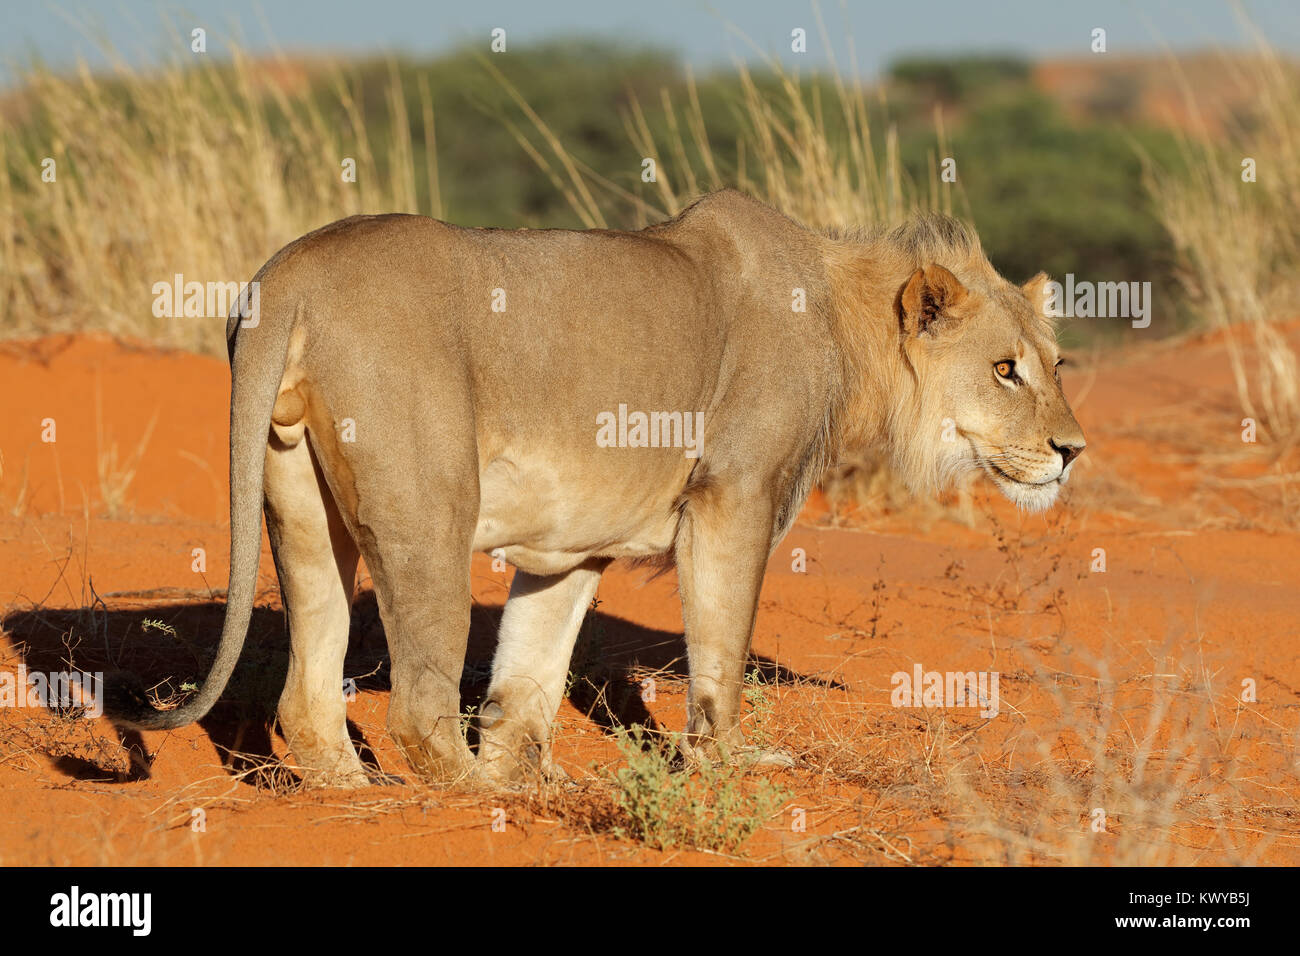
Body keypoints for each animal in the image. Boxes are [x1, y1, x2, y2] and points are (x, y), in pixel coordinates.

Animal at [110, 189, 1085, 786]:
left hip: (300, 507)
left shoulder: (573, 543)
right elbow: (721, 658)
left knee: (309, 697)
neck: (846, 322)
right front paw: (729, 768)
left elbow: (528, 678)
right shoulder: (733, 499)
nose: (1072, 450)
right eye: (1005, 370)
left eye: (1057, 364)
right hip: (429, 507)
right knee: (419, 708)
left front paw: (531, 777)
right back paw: (473, 802)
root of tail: (287, 276)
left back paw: (370, 793)